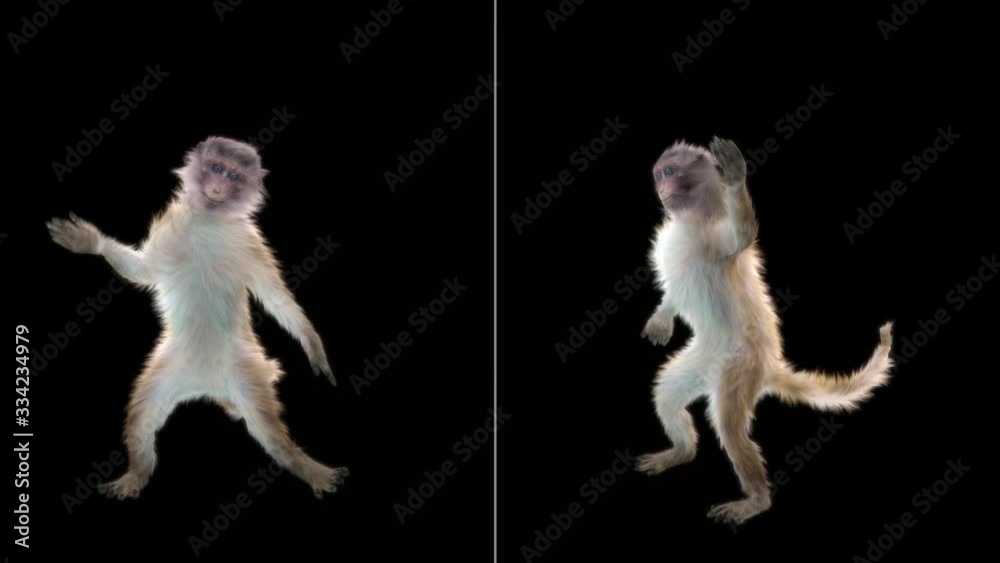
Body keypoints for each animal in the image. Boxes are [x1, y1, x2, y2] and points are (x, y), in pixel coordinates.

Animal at [46, 136, 348, 499]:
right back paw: (137, 473)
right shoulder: (172, 227)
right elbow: (146, 271)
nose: (218, 185)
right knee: (143, 416)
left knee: (268, 430)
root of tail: (207, 385)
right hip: (171, 368)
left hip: (243, 369)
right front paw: (92, 243)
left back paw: (306, 467)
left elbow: (274, 295)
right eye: (216, 167)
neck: (210, 220)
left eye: (233, 175)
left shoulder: (249, 240)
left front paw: (312, 344)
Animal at [636, 137, 894, 525]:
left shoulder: (717, 235)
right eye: (659, 175)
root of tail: (768, 362)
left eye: (670, 172)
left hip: (741, 364)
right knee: (667, 393)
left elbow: (741, 236)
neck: (695, 216)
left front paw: (735, 180)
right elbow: (673, 297)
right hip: (706, 361)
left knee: (729, 424)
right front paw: (661, 319)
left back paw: (756, 501)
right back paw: (680, 452)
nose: (661, 188)